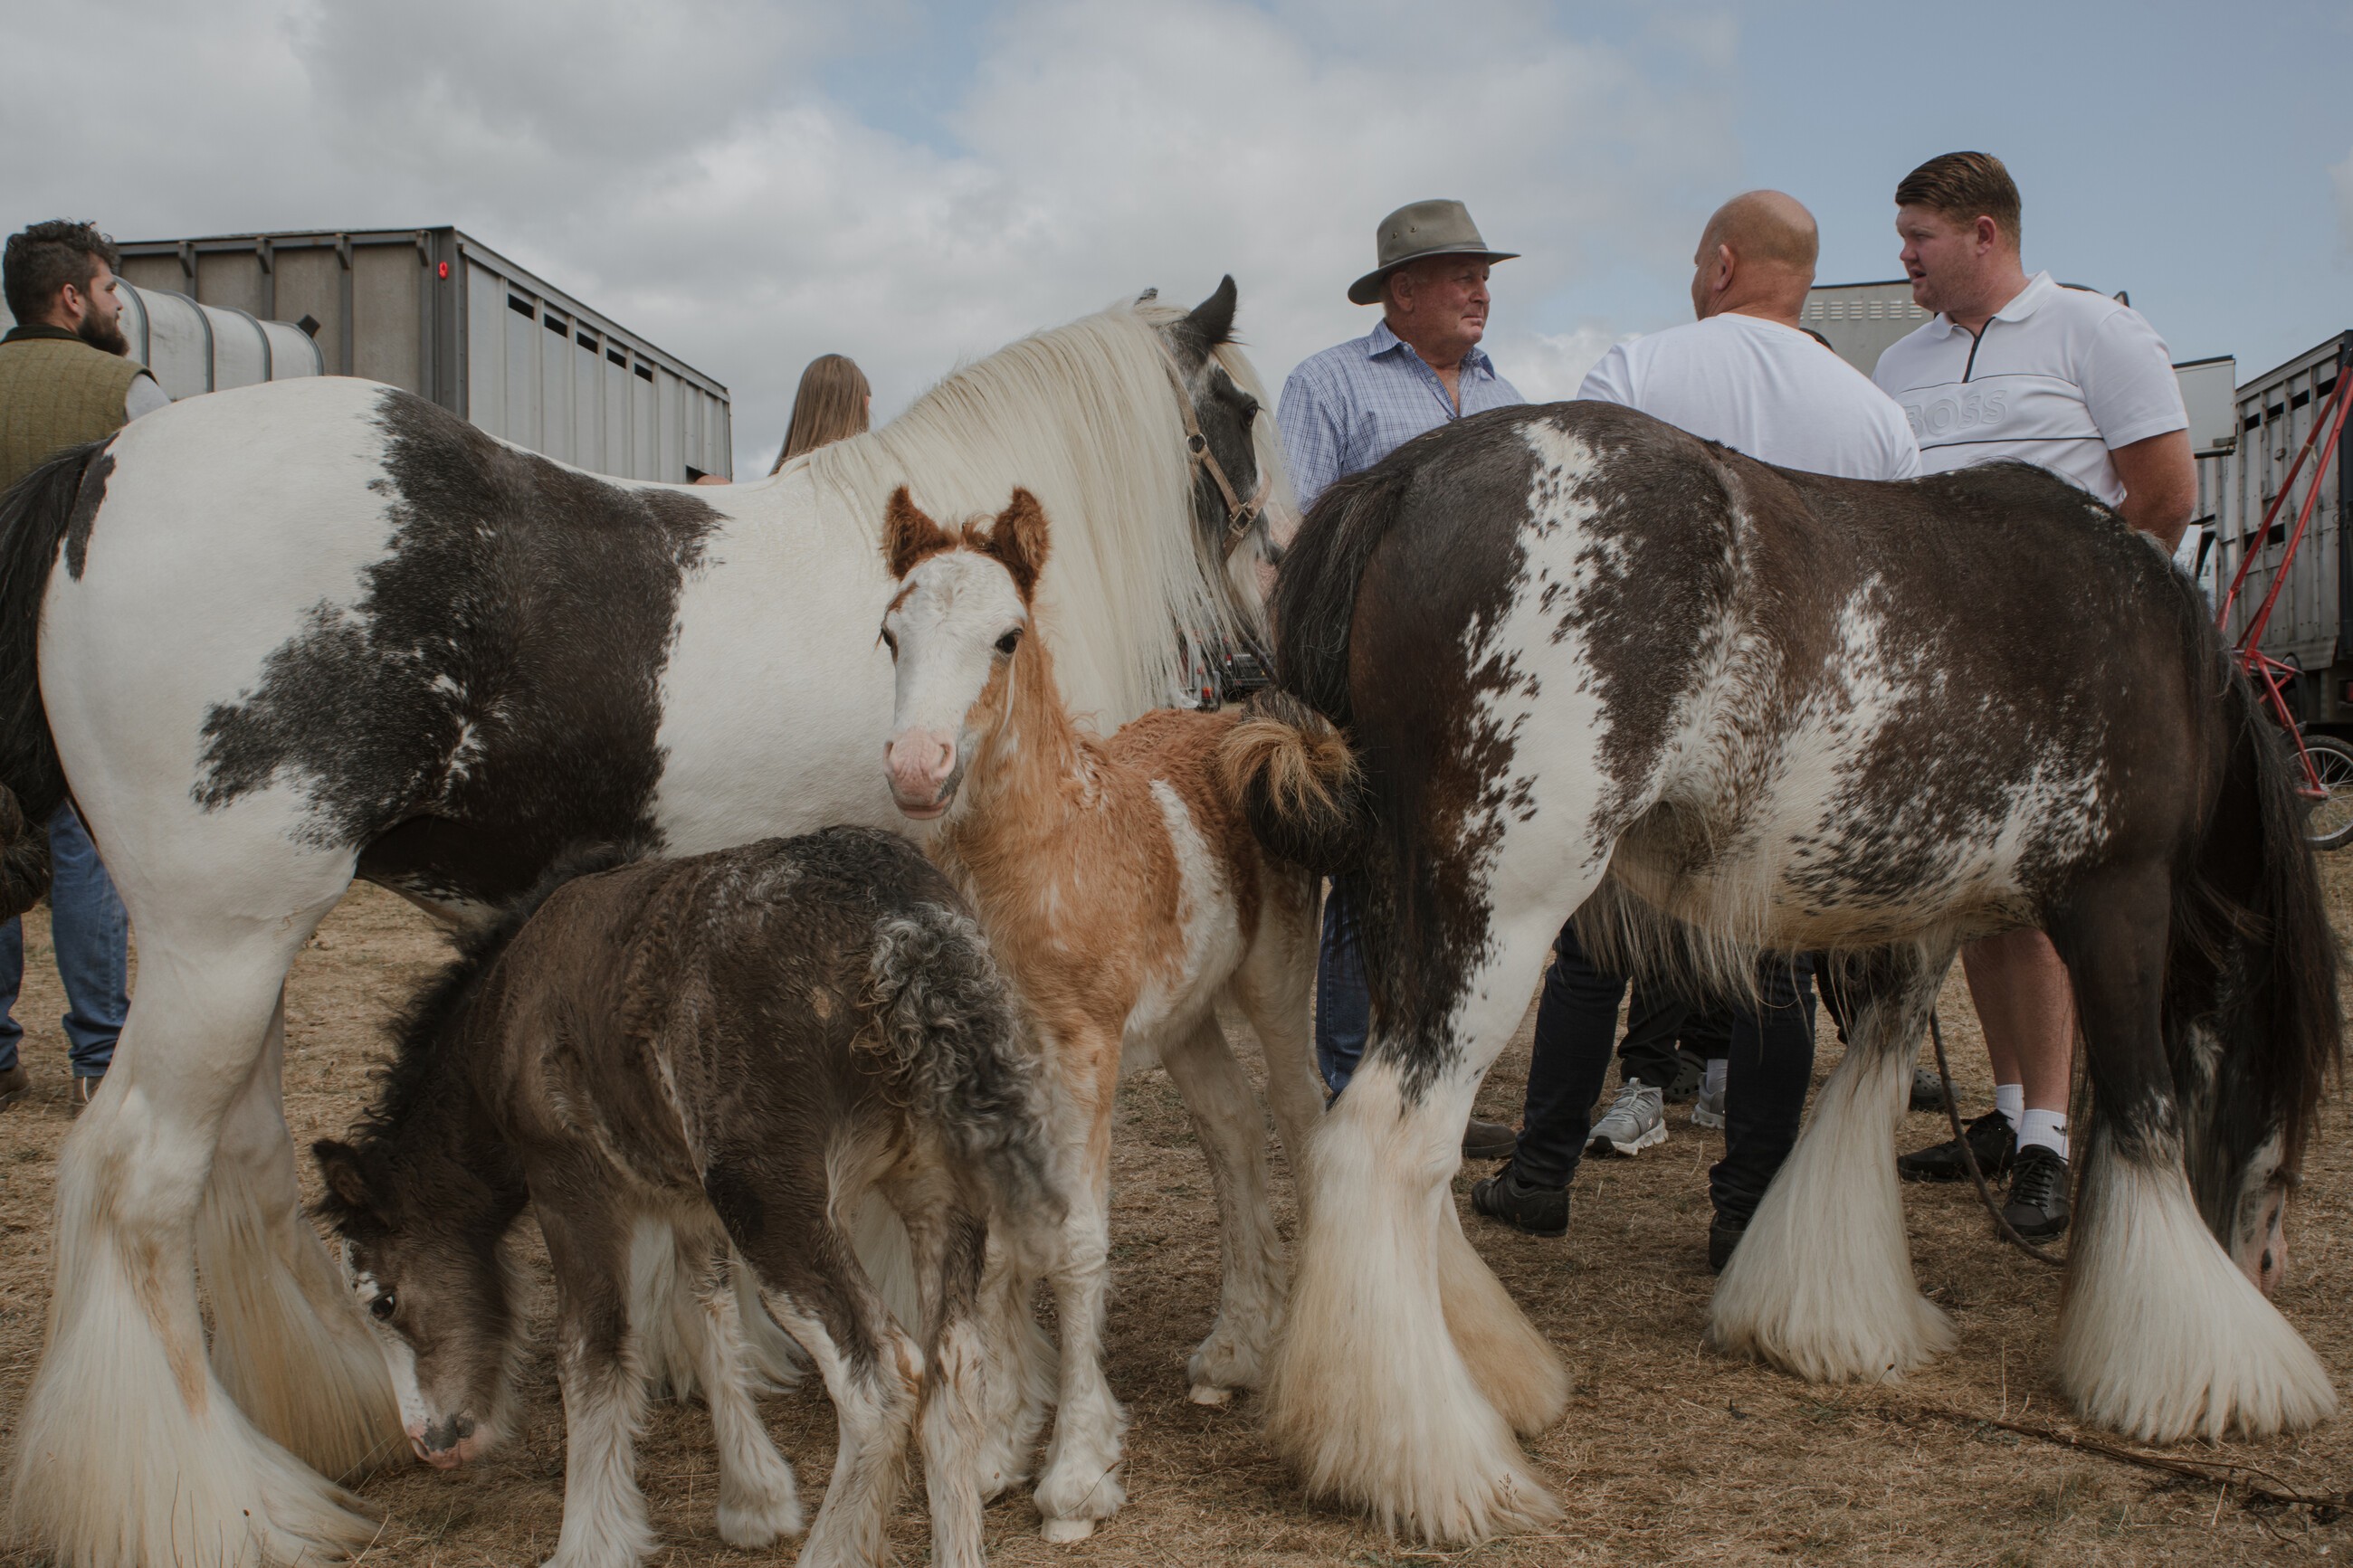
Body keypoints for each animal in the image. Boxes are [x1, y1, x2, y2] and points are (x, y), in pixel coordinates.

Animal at [309, 828, 1060, 1568]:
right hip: (935, 1191)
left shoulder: (569, 1186)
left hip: (771, 1202)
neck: (511, 1003)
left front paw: (588, 1544)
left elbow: (590, 1353)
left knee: (880, 1380)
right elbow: (706, 1316)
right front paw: (755, 1500)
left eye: (382, 1301)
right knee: (953, 1373)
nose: (430, 1441)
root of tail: (906, 930)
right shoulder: (689, 1201)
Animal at [874, 487, 1347, 1533]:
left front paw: (1076, 1472)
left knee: (1301, 1118)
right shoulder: (986, 1068)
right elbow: (1008, 1244)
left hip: (1272, 983)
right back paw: (1231, 1349)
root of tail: (1238, 725)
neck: (1043, 851)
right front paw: (1000, 1444)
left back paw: (1296, 1334)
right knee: (1229, 1127)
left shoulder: (1082, 1053)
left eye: (1006, 636)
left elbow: (1078, 1239)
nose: (918, 766)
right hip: (1185, 1019)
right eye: (889, 632)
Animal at [1239, 401, 2341, 1541]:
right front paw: (2216, 1370)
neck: (2154, 646)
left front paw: (1827, 1317)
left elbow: (1865, 1091)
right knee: (1386, 1143)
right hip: (1501, 914)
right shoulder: (2116, 901)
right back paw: (1433, 1467)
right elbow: (2143, 1108)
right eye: (2294, 1075)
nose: (2267, 1261)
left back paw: (1490, 1381)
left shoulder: (1924, 921)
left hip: (1403, 913)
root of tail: (1407, 479)